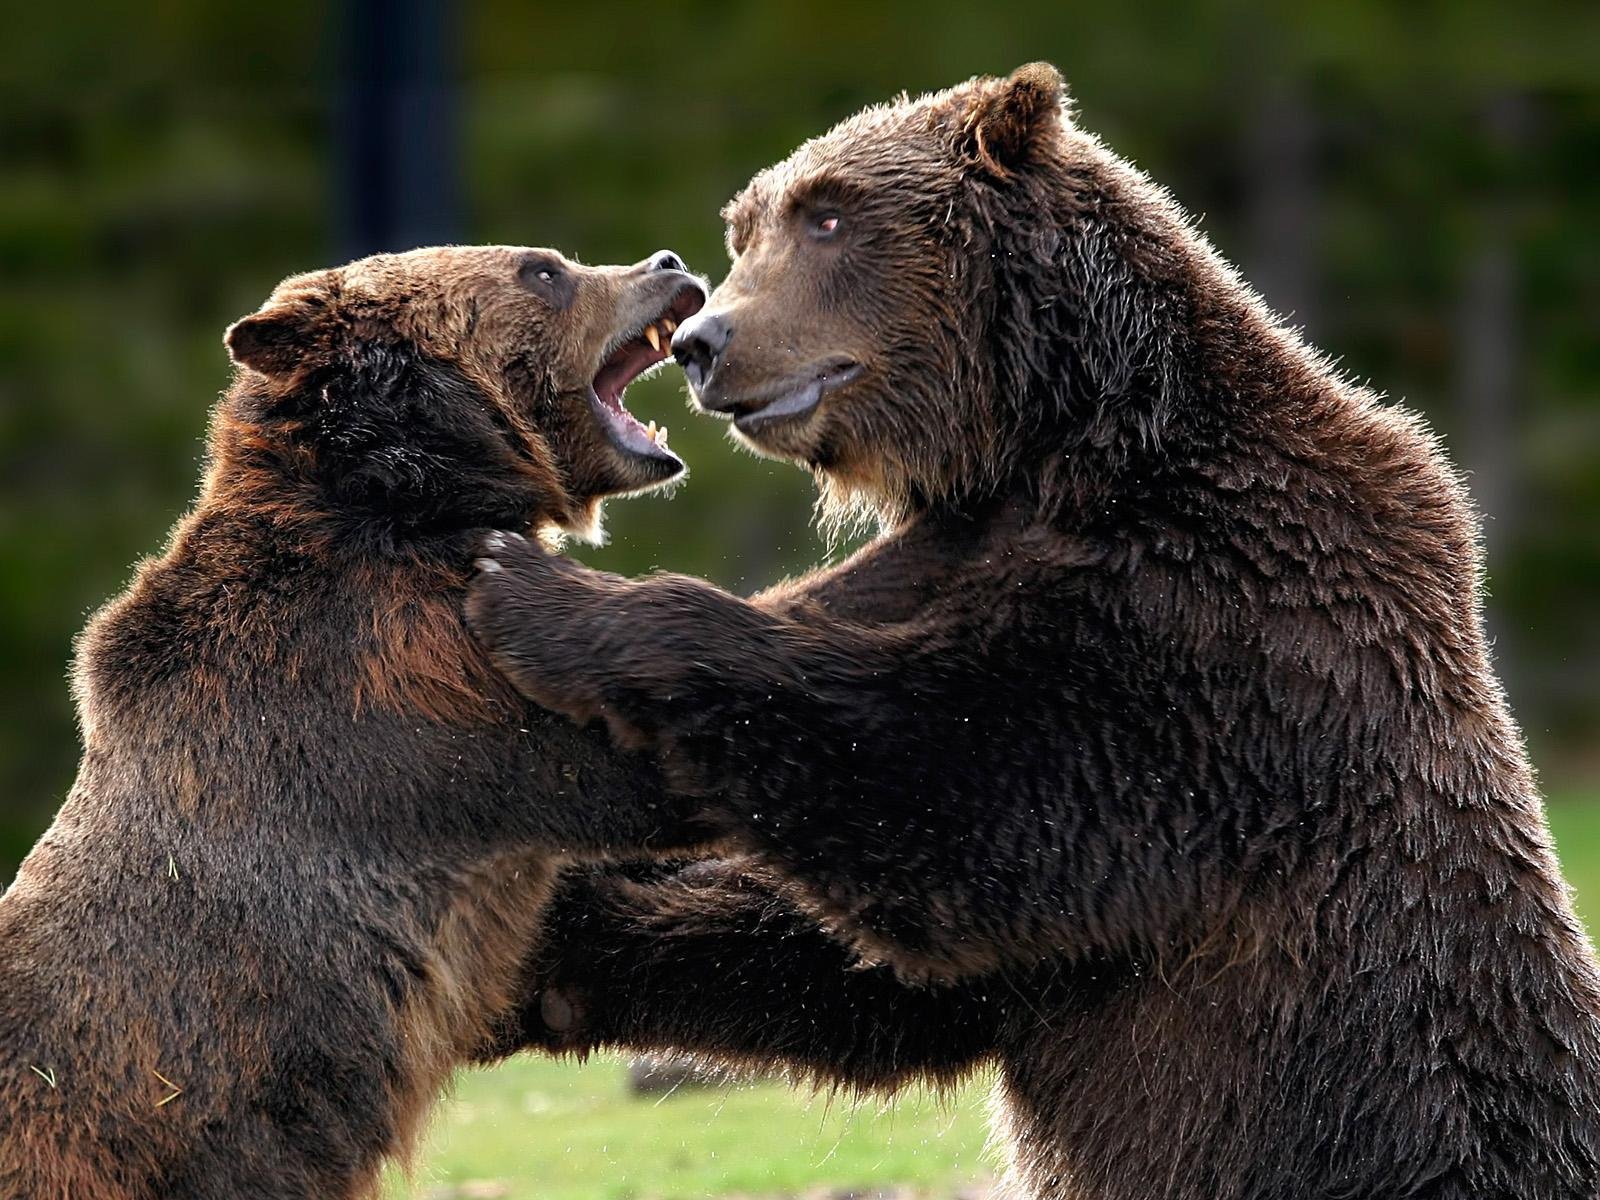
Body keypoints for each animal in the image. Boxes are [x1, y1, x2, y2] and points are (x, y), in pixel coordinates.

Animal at [465, 66, 1600, 1200]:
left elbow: (974, 796)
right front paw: (552, 943)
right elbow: (877, 965)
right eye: (747, 228)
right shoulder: (956, 565)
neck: (1061, 451)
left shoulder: (1224, 632)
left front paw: (538, 590)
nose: (706, 343)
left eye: (829, 213)